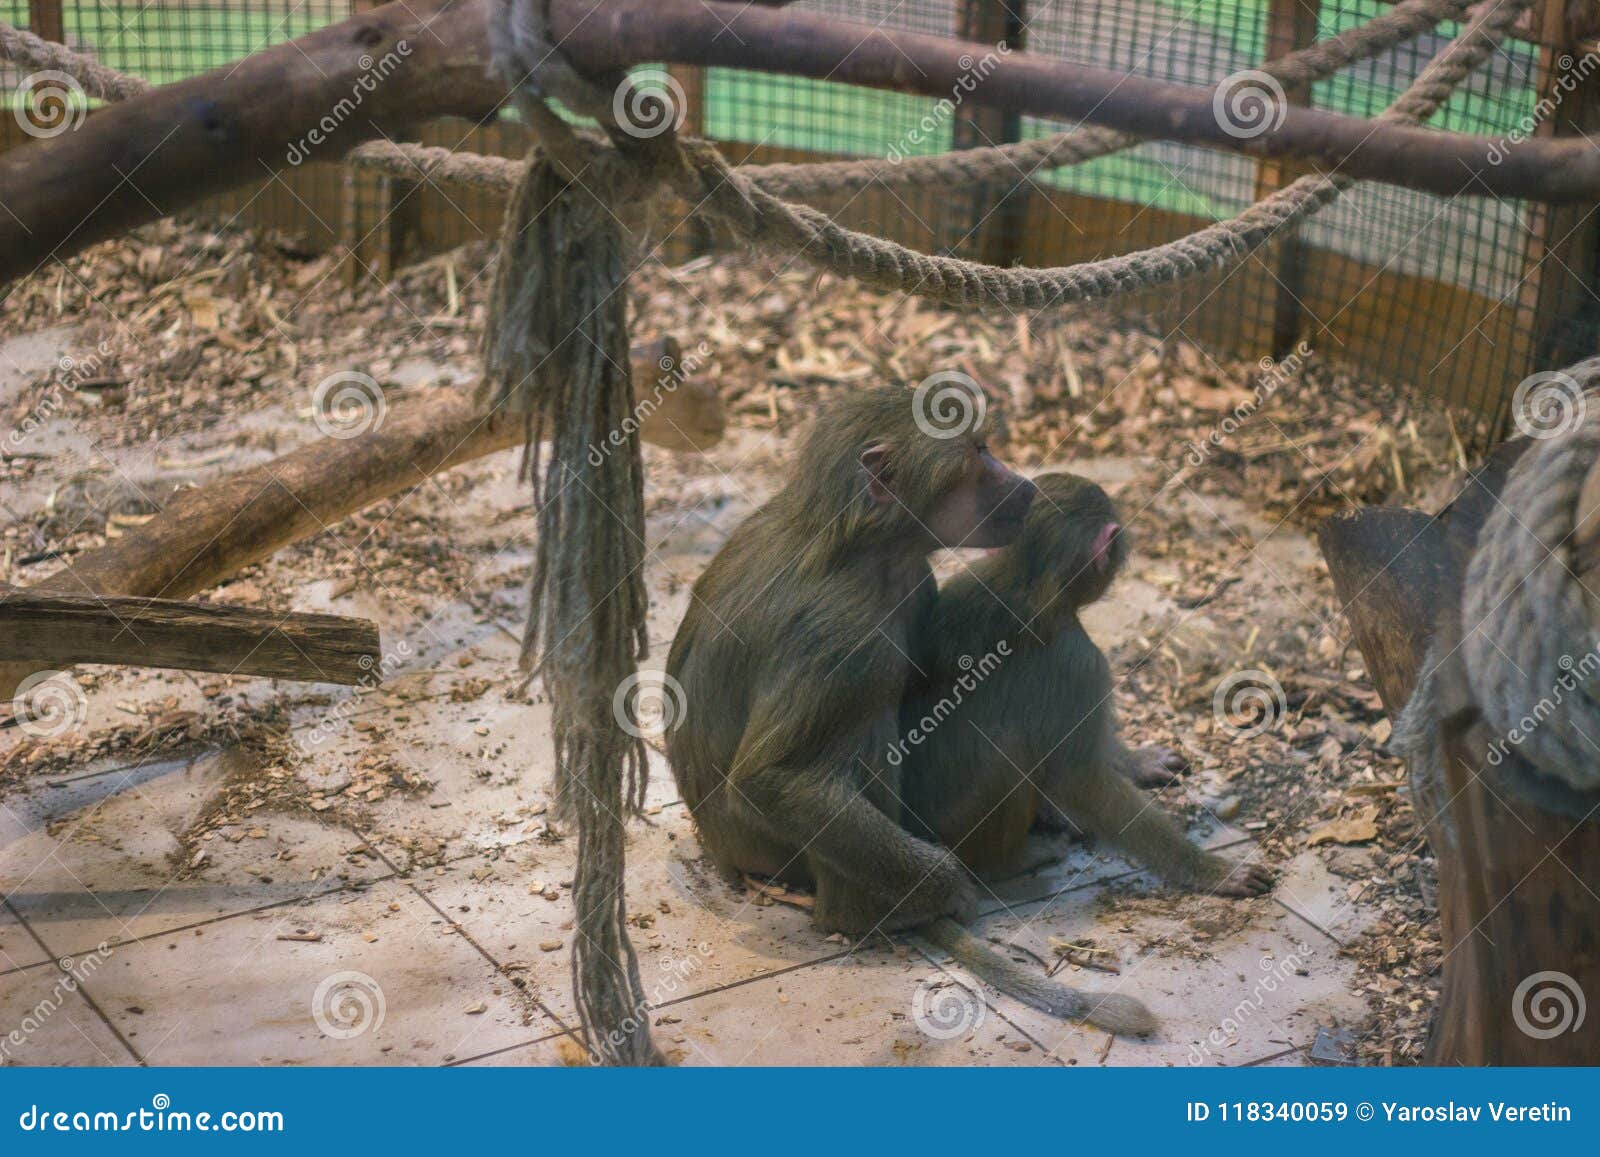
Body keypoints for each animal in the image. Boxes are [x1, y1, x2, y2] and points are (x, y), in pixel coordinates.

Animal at [666, 386, 1155, 1037]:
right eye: (979, 452)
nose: (1022, 484)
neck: (860, 546)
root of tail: (719, 853)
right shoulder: (844, 634)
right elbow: (773, 780)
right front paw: (946, 889)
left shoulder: (916, 581)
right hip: (779, 852)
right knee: (861, 729)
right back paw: (867, 913)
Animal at [900, 472, 1277, 905]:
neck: (1029, 583)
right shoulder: (1081, 659)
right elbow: (1082, 779)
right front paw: (1208, 869)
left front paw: (1136, 760)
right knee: (1014, 750)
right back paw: (1007, 863)